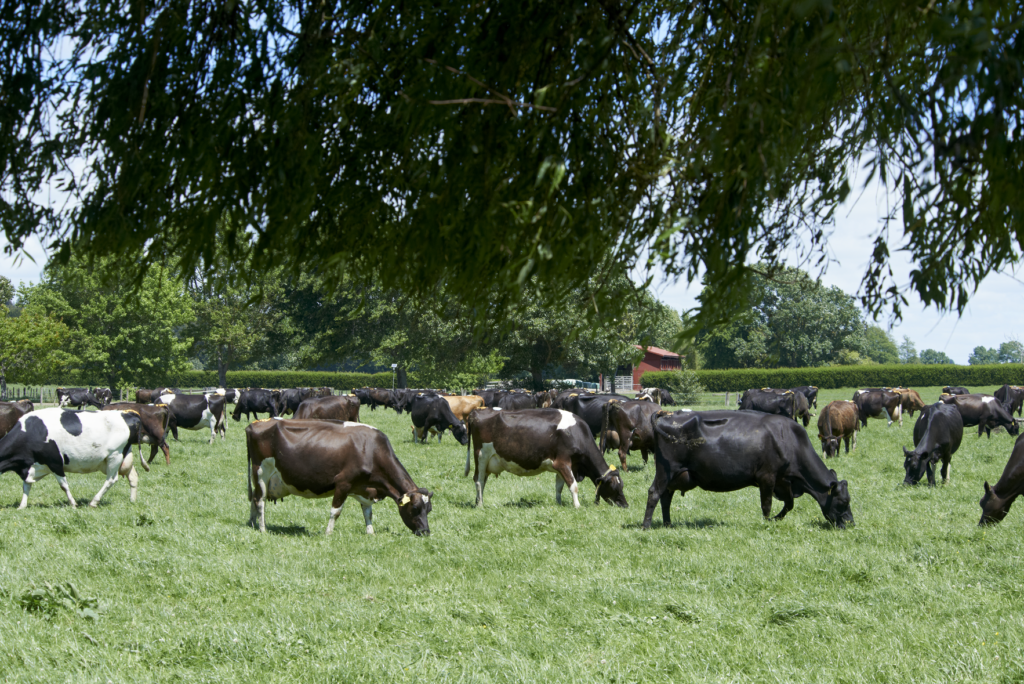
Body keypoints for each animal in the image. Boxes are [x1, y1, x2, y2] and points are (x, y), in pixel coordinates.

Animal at [0, 408, 145, 507]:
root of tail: (126, 413)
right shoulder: (31, 465)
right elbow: (26, 486)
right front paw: (22, 506)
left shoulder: (55, 461)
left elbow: (63, 485)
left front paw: (73, 504)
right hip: (122, 458)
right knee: (133, 476)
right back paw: (132, 500)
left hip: (114, 456)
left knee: (111, 480)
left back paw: (94, 502)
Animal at [246, 419, 433, 535]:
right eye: (415, 508)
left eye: (429, 510)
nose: (425, 532)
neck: (370, 450)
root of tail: (256, 424)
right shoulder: (343, 483)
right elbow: (335, 511)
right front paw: (328, 533)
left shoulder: (364, 488)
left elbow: (368, 513)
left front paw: (370, 533)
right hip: (261, 472)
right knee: (260, 501)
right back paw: (262, 529)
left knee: (254, 498)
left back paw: (252, 524)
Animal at [464, 408, 628, 508]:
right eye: (613, 486)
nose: (625, 505)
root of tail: (477, 412)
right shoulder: (563, 463)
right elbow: (573, 485)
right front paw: (577, 506)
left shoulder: (562, 466)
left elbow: (559, 487)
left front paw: (559, 504)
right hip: (481, 455)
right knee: (478, 480)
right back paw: (480, 505)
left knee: (483, 481)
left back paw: (478, 501)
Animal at [642, 410, 853, 529]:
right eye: (843, 501)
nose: (851, 523)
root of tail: (666, 415)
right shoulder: (767, 476)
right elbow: (766, 504)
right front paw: (766, 523)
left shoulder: (783, 481)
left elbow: (789, 504)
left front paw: (775, 519)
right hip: (666, 470)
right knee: (654, 493)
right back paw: (646, 526)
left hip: (675, 475)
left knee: (666, 497)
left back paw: (668, 524)